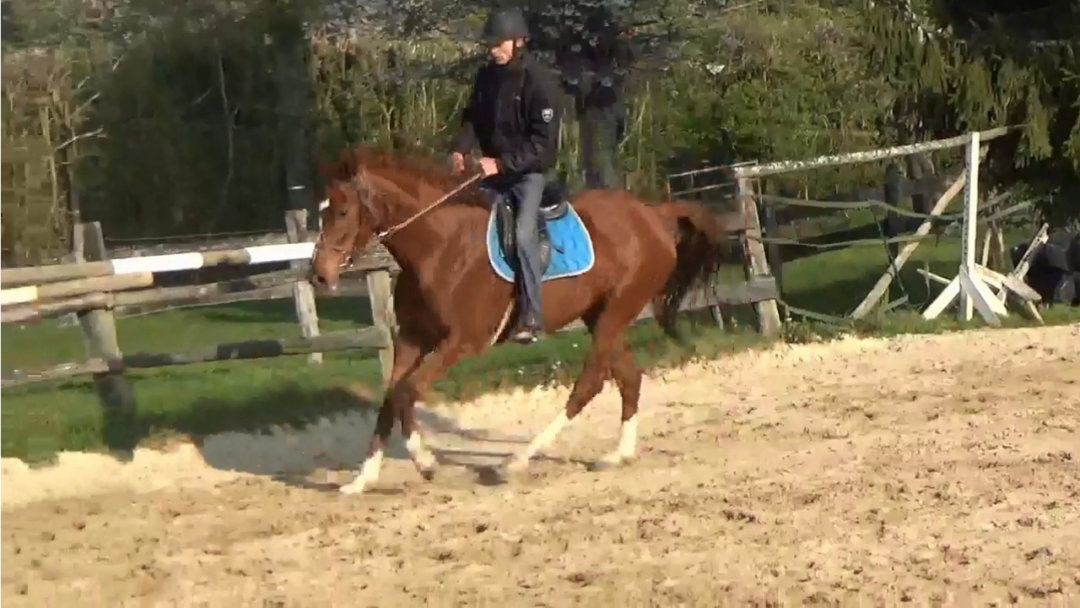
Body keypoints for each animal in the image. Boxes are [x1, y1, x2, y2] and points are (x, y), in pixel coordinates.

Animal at [310, 145, 734, 493]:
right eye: (321, 212)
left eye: (343, 211)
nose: (319, 274)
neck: (440, 247)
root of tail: (652, 214)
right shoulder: (412, 339)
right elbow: (389, 398)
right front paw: (362, 478)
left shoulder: (461, 342)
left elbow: (405, 392)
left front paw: (425, 461)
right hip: (601, 316)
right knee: (628, 377)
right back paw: (618, 454)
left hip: (616, 313)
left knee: (590, 384)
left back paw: (520, 459)